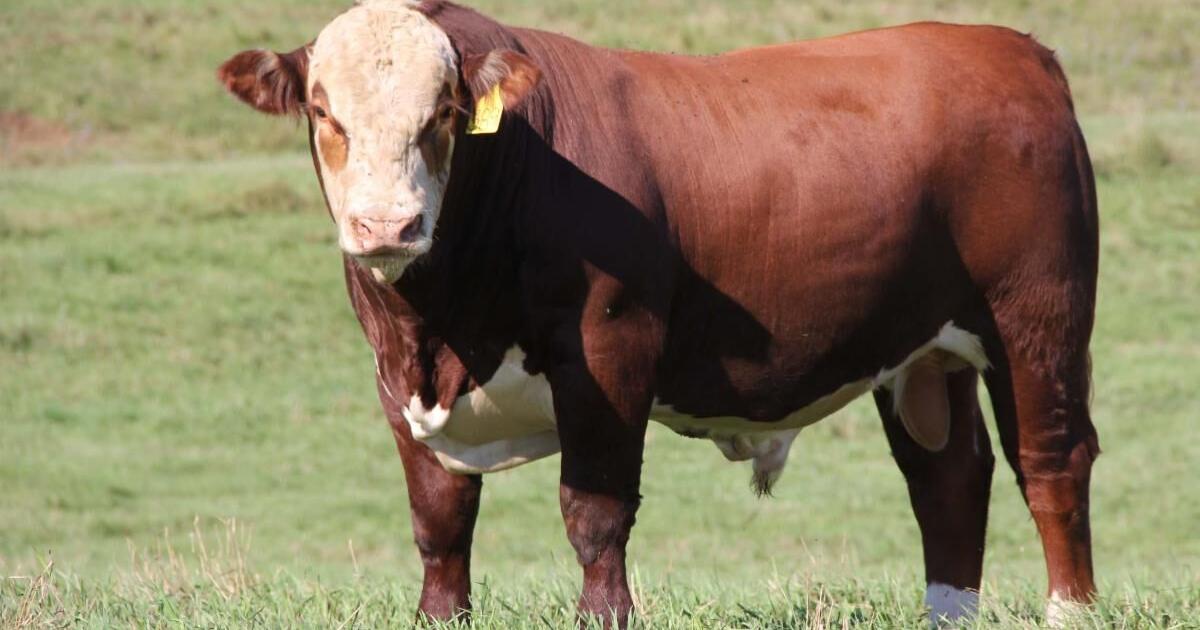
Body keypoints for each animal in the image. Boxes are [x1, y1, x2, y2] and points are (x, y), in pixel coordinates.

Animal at [217, 0, 1100, 626]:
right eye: (323, 113)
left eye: (442, 114)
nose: (387, 226)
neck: (442, 330)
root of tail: (1013, 47)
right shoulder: (396, 379)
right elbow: (440, 524)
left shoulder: (609, 350)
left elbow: (595, 512)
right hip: (922, 350)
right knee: (948, 476)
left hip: (1036, 319)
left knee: (1050, 461)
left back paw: (1069, 609)